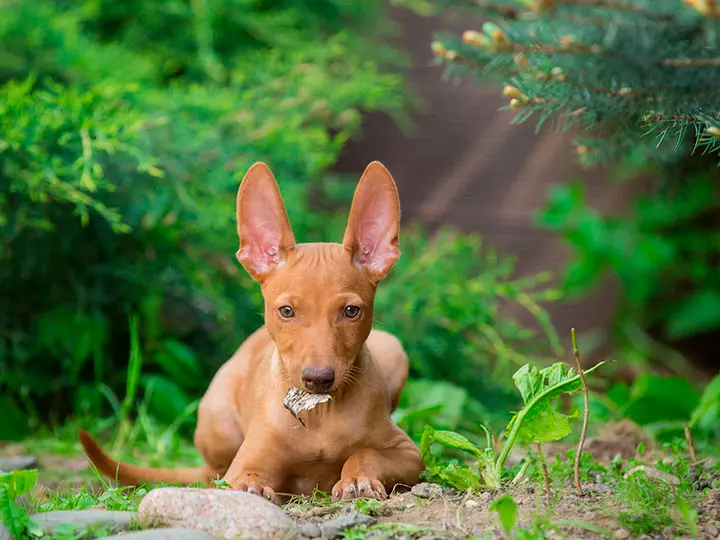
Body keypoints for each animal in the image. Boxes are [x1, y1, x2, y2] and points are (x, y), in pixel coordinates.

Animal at [77, 159, 428, 502]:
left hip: (394, 350)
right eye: (286, 311)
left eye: (351, 311)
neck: (319, 412)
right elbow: (245, 479)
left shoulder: (408, 454)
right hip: (217, 420)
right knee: (212, 473)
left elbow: (366, 453)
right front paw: (254, 488)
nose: (318, 378)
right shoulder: (246, 463)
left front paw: (357, 478)